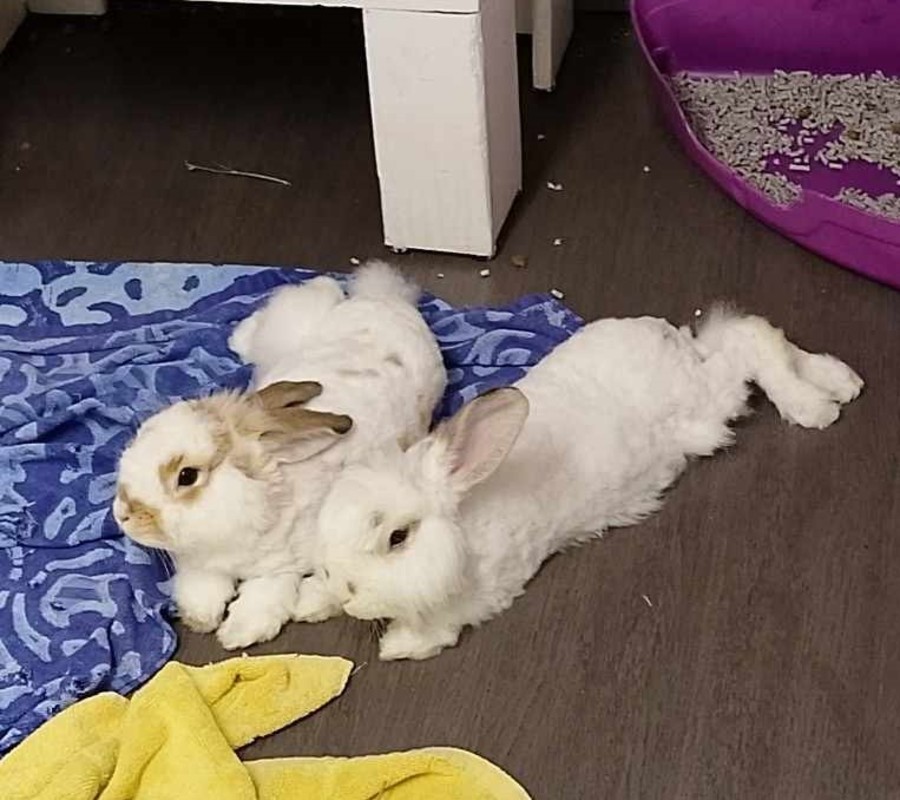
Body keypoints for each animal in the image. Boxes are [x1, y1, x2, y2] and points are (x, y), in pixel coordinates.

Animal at [114, 262, 446, 650]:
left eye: (187, 476)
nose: (122, 514)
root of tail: (389, 301)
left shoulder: (282, 566)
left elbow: (266, 594)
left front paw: (238, 632)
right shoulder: (201, 564)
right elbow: (201, 587)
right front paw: (201, 617)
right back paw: (239, 336)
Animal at [313, 305, 863, 661]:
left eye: (398, 538)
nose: (347, 593)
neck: (465, 518)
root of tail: (671, 340)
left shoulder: (491, 590)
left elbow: (445, 624)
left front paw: (399, 644)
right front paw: (317, 601)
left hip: (709, 407)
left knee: (751, 339)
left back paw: (813, 406)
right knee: (742, 332)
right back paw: (840, 379)